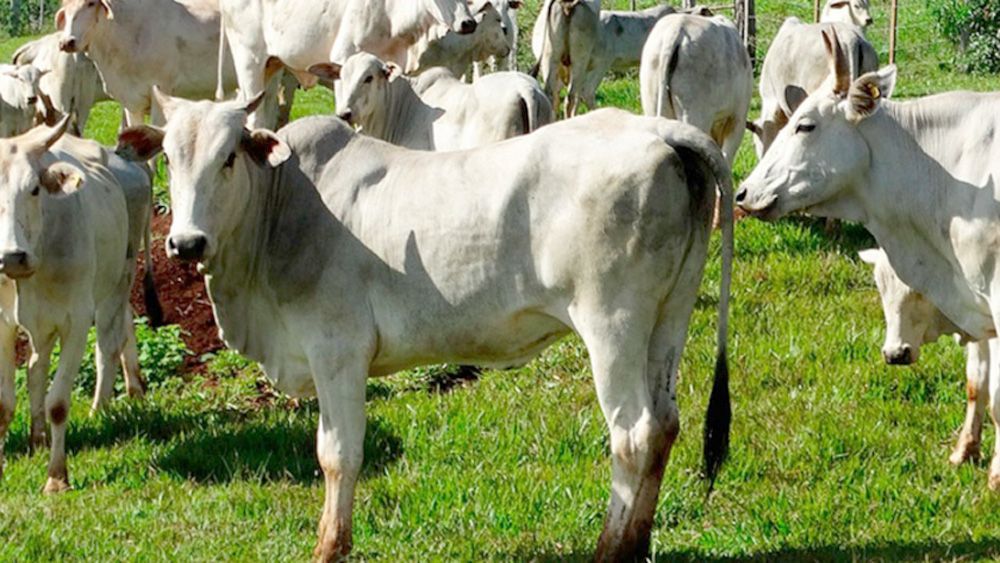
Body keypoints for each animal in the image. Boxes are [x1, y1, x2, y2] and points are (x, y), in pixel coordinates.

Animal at [0, 117, 156, 494]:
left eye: (34, 189)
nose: (11, 256)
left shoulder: (76, 320)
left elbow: (58, 403)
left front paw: (57, 477)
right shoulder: (3, 322)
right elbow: (4, 404)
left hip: (118, 282)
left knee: (110, 345)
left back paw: (102, 409)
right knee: (36, 367)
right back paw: (37, 436)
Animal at [116, 91, 734, 562]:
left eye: (228, 158)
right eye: (168, 157)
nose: (186, 242)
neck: (281, 207)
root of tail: (657, 128)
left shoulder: (337, 352)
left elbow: (338, 455)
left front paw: (329, 547)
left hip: (613, 324)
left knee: (634, 433)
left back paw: (610, 548)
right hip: (668, 318)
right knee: (666, 424)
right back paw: (638, 542)